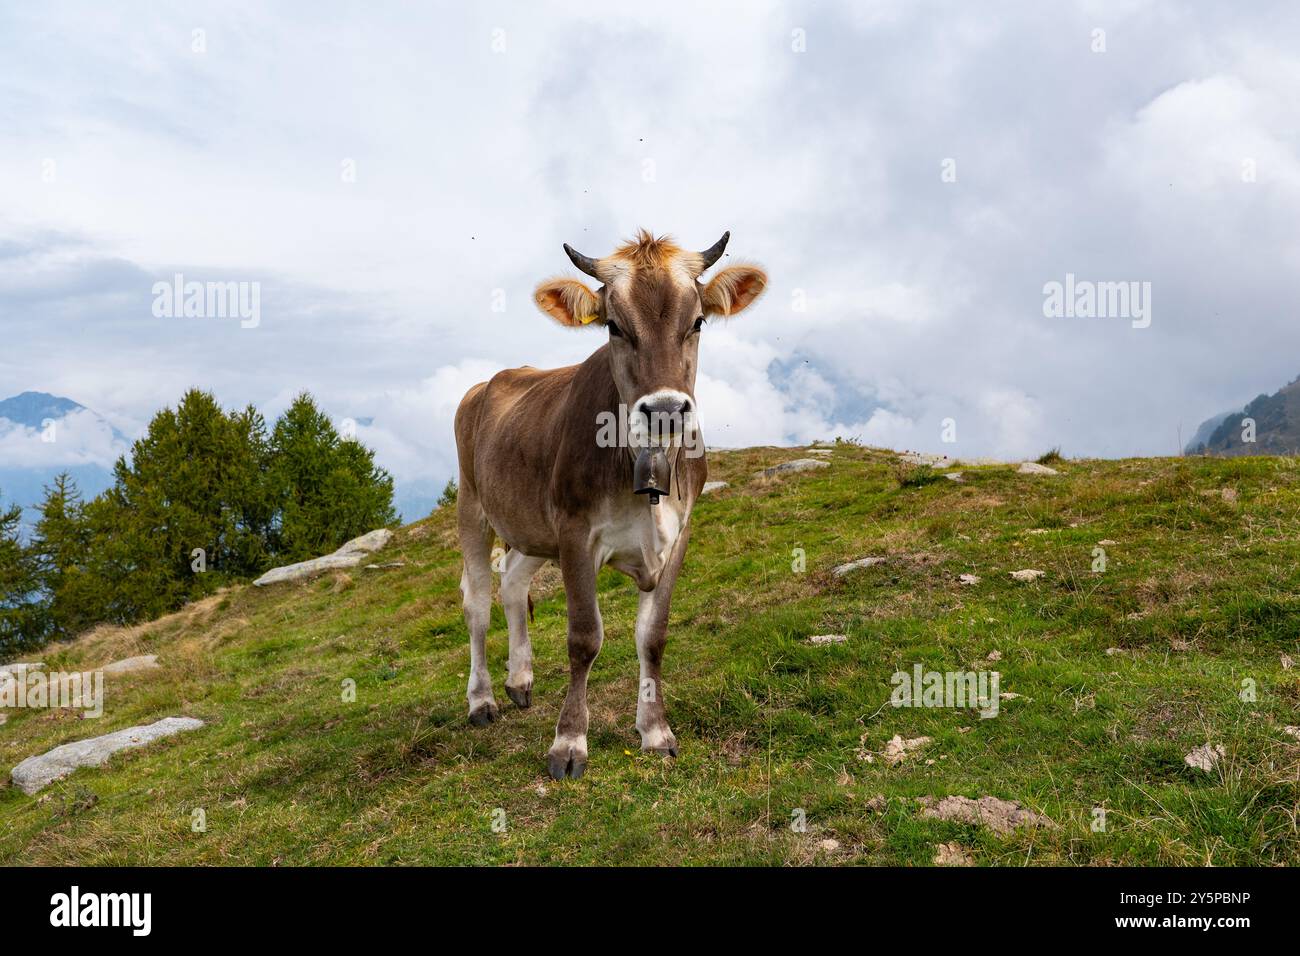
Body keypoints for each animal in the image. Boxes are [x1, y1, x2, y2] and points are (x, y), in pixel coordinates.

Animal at [453, 229, 768, 779]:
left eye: (698, 321)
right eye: (615, 326)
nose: (665, 410)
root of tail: (493, 379)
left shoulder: (678, 534)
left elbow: (653, 636)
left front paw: (656, 731)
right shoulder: (576, 533)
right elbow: (584, 639)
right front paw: (569, 744)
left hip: (531, 527)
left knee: (512, 583)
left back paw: (520, 679)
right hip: (473, 506)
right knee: (477, 603)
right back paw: (482, 700)